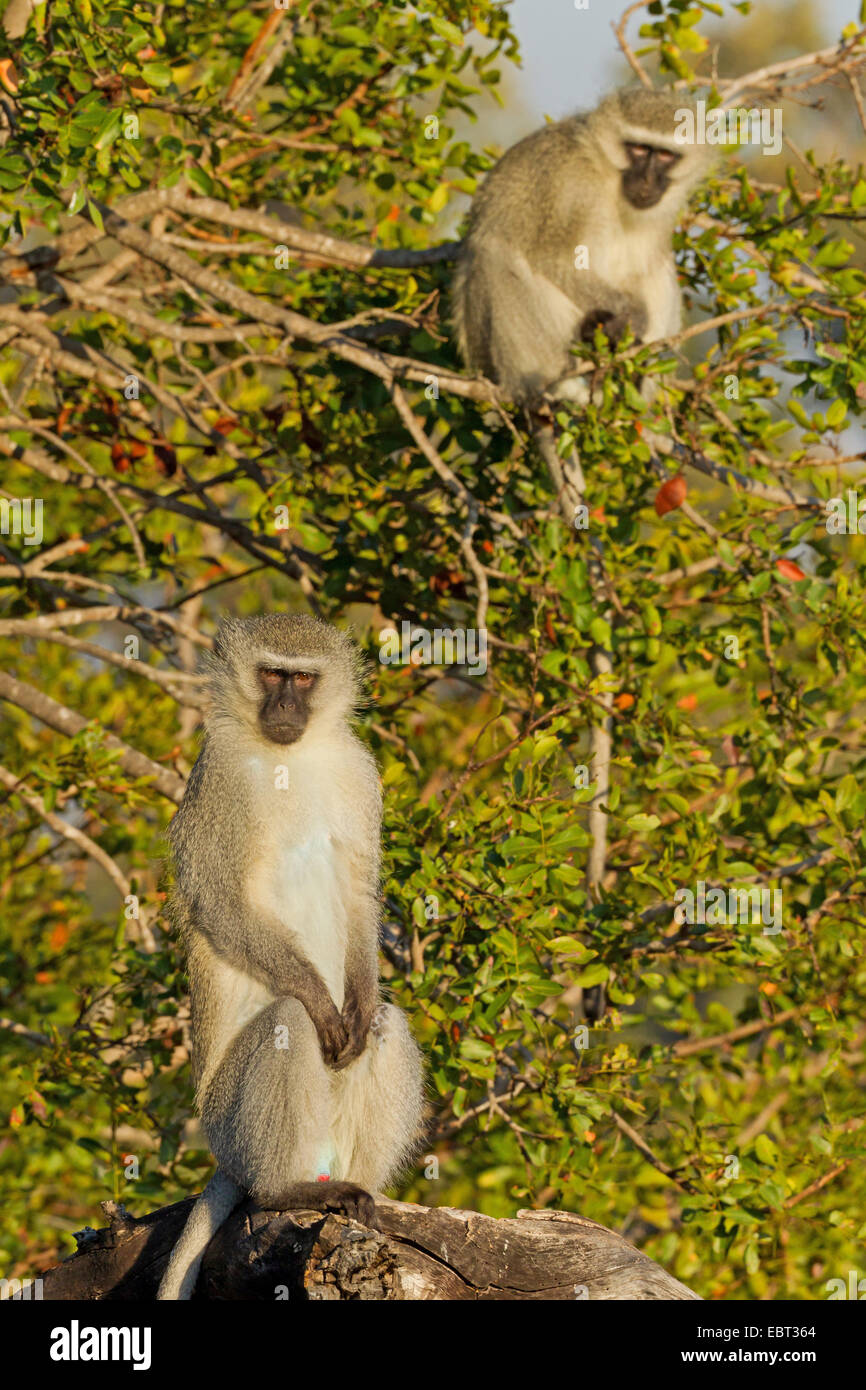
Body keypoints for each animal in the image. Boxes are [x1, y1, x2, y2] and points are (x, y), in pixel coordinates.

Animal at [157, 614, 424, 1300]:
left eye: (303, 678)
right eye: (271, 674)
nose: (283, 706)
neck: (290, 758)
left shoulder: (359, 770)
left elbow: (359, 890)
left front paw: (356, 1002)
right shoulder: (220, 775)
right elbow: (220, 899)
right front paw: (322, 1004)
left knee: (385, 1023)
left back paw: (369, 1193)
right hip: (226, 1122)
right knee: (287, 1022)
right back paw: (283, 1190)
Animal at [452, 88, 712, 406]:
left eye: (665, 155)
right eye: (638, 149)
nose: (648, 179)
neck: (608, 177)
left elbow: (645, 266)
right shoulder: (571, 189)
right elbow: (551, 260)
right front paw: (635, 315)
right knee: (494, 252)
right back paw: (541, 387)